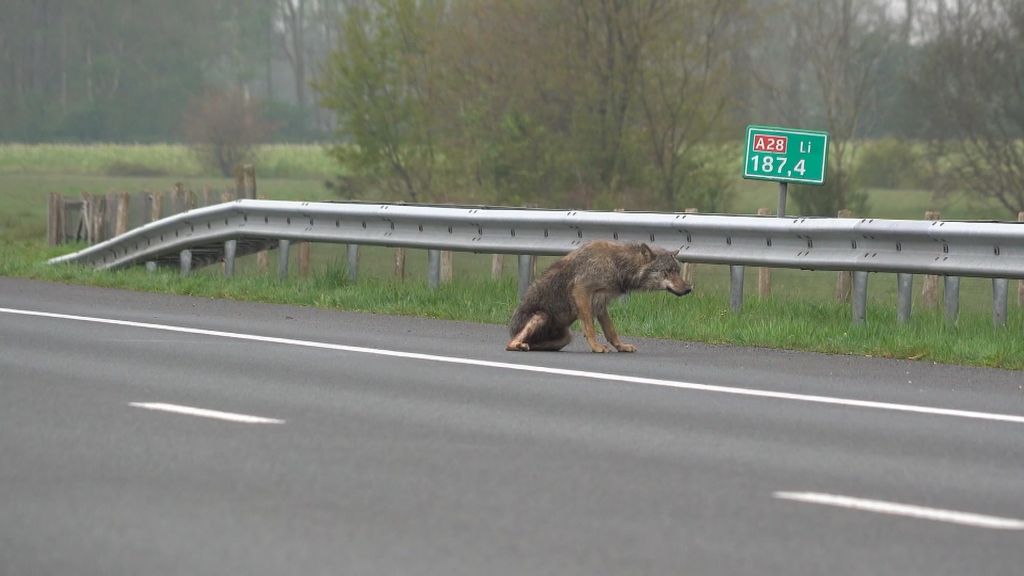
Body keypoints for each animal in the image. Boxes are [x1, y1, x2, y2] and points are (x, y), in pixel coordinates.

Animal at [506, 240, 692, 353]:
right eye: (667, 271)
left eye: (677, 271)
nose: (689, 288)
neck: (617, 265)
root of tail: (511, 330)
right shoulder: (581, 291)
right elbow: (590, 327)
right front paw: (596, 347)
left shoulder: (601, 304)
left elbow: (611, 331)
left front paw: (621, 347)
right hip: (541, 316)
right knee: (509, 344)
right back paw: (519, 345)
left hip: (565, 338)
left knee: (535, 344)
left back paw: (528, 345)